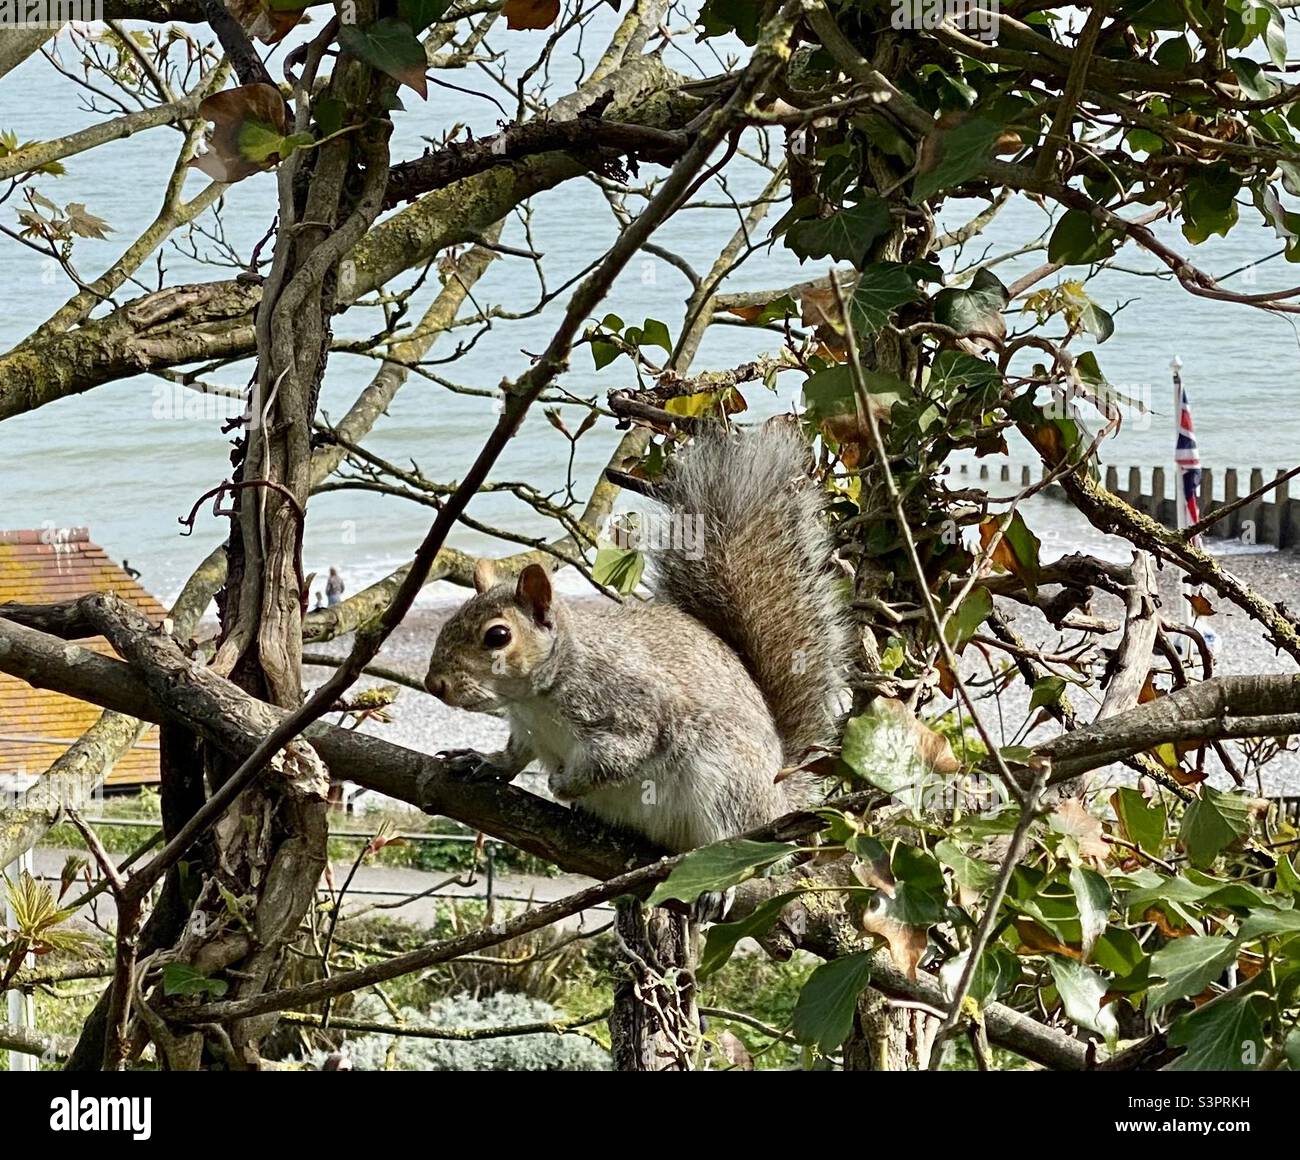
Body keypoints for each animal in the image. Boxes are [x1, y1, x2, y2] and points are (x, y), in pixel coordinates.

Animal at [423, 422, 850, 853]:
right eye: (447, 624)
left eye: (498, 636)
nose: (434, 684)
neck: (535, 699)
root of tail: (778, 796)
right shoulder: (526, 728)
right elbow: (516, 753)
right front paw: (485, 760)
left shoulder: (629, 709)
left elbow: (618, 756)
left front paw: (563, 784)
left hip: (726, 780)